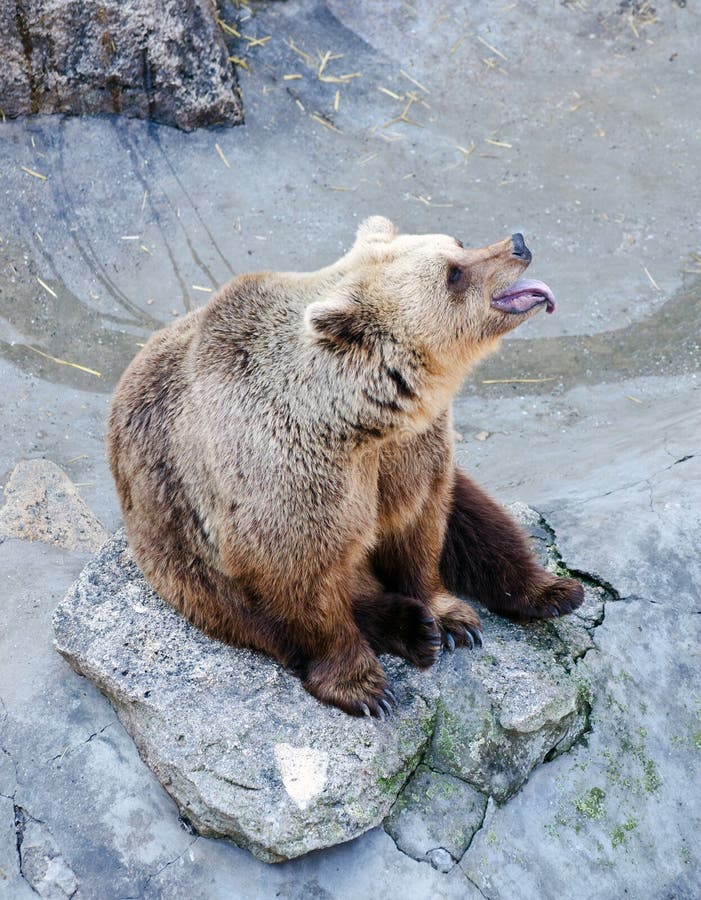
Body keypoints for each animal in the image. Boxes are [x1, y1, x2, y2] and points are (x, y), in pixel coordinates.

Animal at [107, 216, 583, 717]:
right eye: (453, 274)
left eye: (457, 242)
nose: (517, 244)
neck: (358, 421)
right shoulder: (285, 477)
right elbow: (301, 579)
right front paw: (367, 687)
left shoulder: (411, 452)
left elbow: (422, 527)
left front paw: (450, 616)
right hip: (180, 549)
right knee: (249, 616)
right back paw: (409, 629)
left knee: (481, 521)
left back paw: (550, 591)